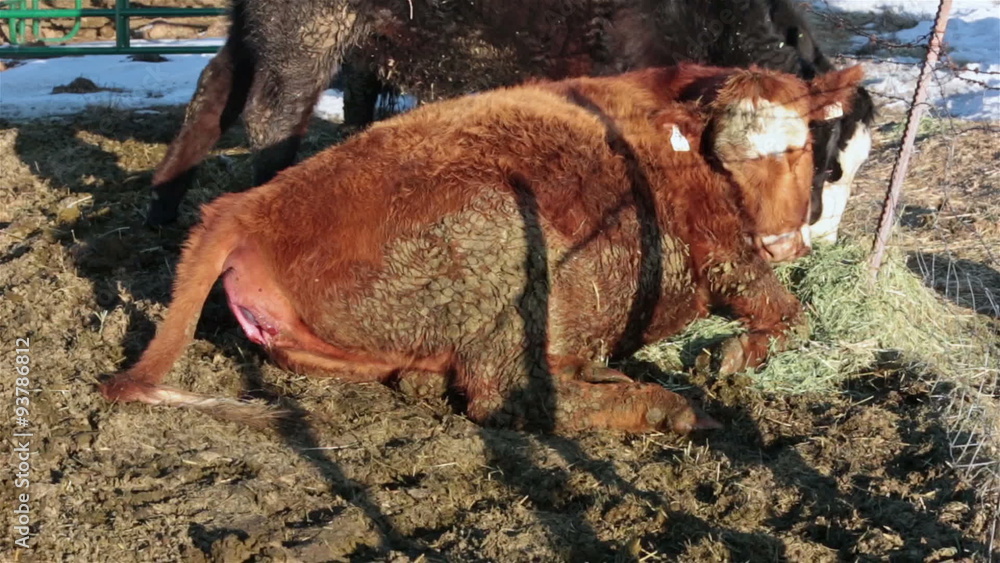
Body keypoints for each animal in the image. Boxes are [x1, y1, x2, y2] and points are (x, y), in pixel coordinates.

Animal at [102, 63, 864, 434]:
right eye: (733, 157)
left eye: (801, 147)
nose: (783, 239)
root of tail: (246, 207)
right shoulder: (724, 255)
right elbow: (787, 312)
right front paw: (732, 354)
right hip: (508, 237)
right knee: (501, 389)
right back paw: (659, 405)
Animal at [145, 0, 874, 246]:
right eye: (824, 164)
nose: (820, 240)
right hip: (305, 34)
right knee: (272, 119)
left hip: (257, 26)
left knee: (213, 93)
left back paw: (162, 208)